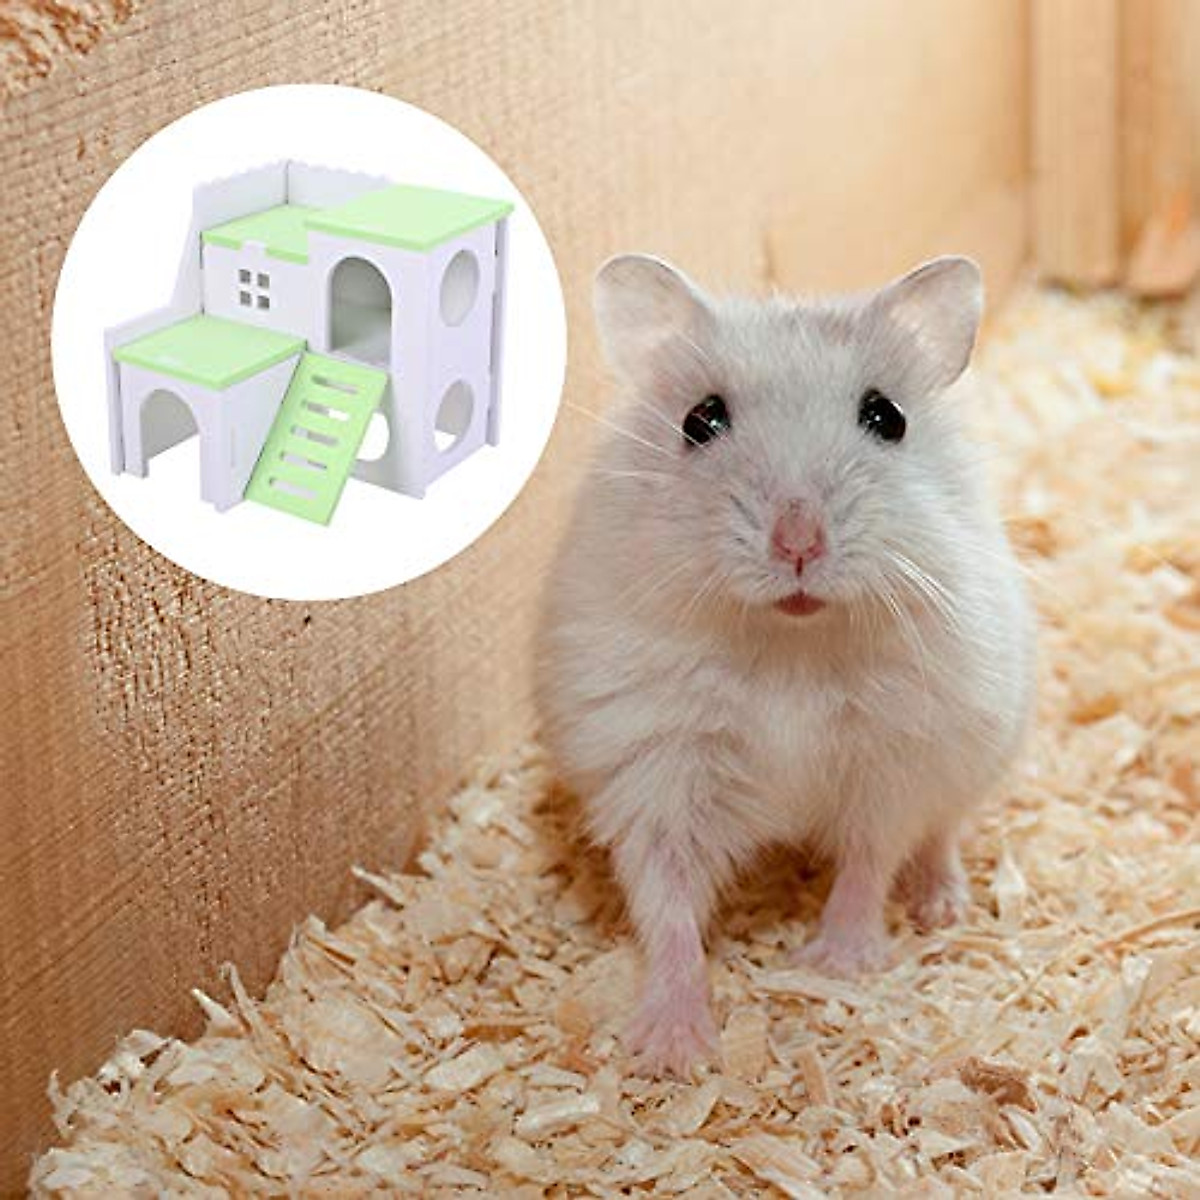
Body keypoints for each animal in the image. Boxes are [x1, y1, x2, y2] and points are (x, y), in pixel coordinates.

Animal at [536, 254, 1035, 1076]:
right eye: (699, 421)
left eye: (887, 417)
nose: (798, 541)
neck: (791, 645)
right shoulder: (657, 773)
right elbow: (667, 907)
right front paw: (673, 1051)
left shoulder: (894, 761)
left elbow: (870, 860)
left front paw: (838, 964)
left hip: (972, 758)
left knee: (940, 834)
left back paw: (939, 906)